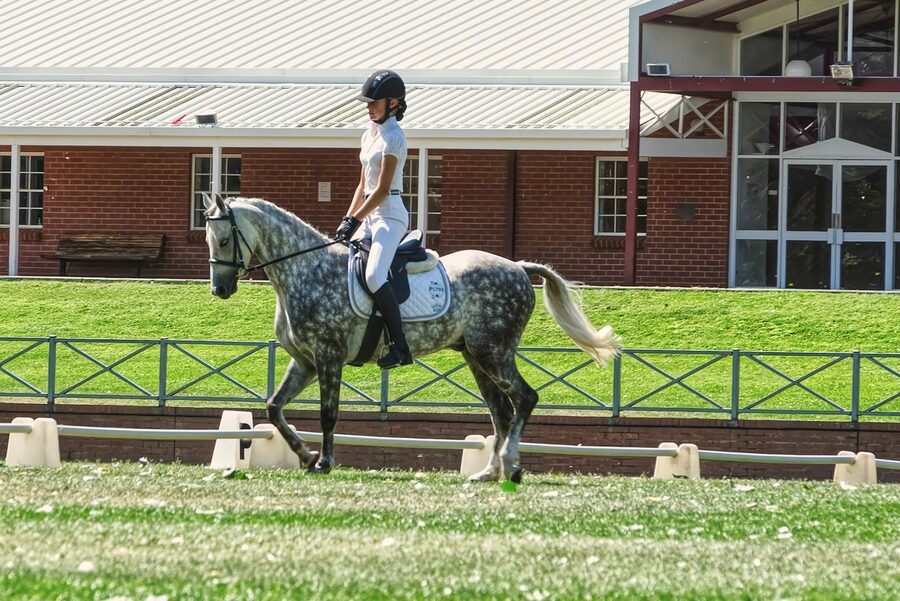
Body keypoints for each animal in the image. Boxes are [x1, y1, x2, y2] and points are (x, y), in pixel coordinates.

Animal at [202, 194, 620, 483]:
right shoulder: (304, 361)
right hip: (476, 355)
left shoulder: (327, 357)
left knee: (524, 399)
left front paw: (323, 461)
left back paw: (511, 466)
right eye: (208, 239)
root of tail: (517, 267)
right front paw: (305, 457)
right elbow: (274, 407)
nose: (219, 290)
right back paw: (488, 473)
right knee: (501, 410)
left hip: (494, 351)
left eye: (223, 240)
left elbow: (328, 414)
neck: (306, 269)